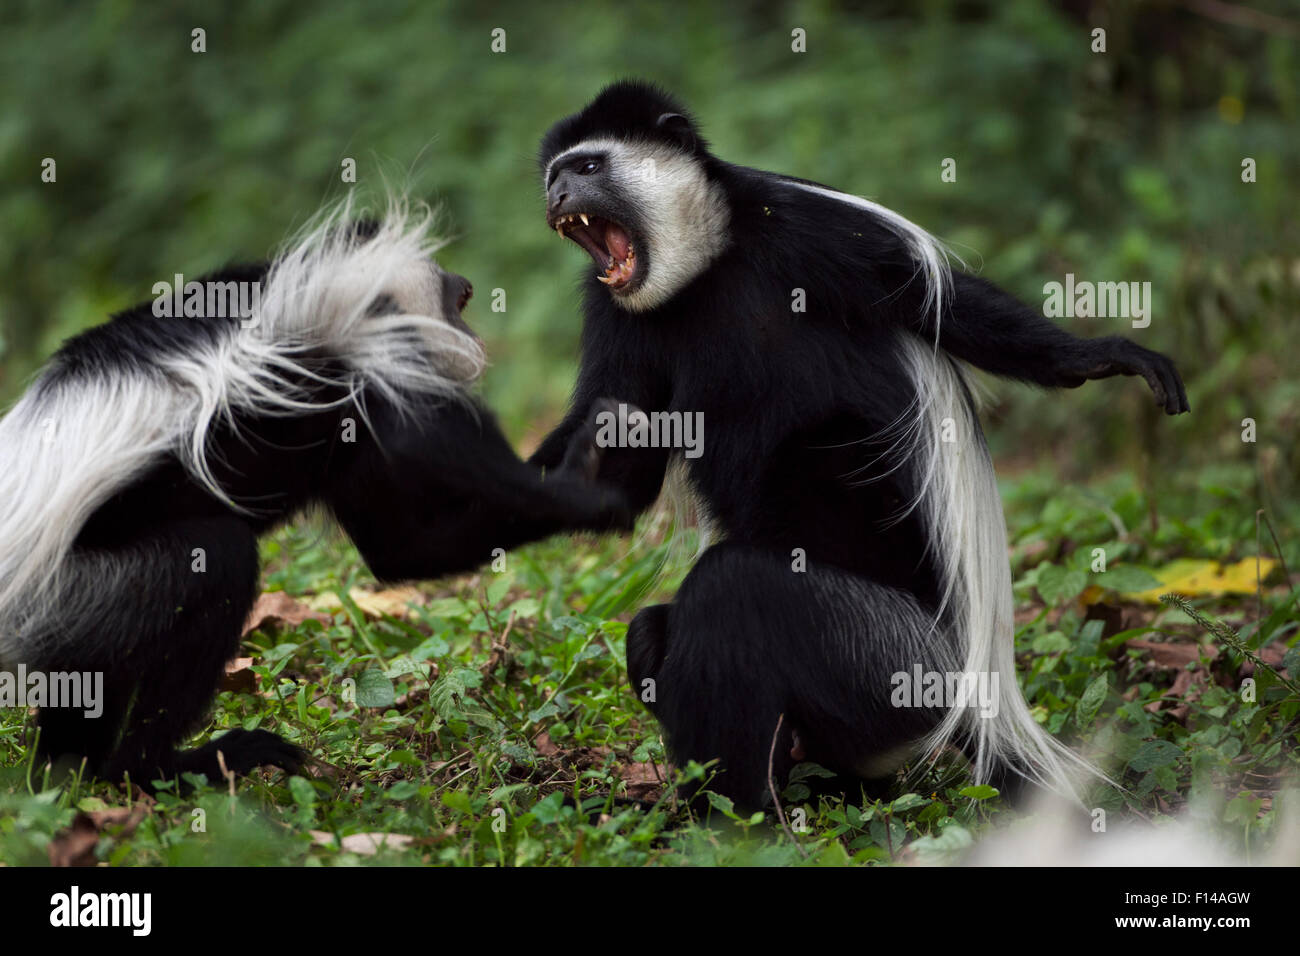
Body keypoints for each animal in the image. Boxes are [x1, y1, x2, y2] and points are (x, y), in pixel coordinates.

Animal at [0, 201, 630, 789]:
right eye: (451, 298)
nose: (466, 293)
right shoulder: (352, 376)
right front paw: (587, 491)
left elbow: (405, 550)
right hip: (79, 594)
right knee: (215, 559)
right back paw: (159, 768)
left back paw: (71, 774)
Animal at [530, 80, 1189, 809]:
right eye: (555, 173)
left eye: (588, 167)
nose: (557, 191)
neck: (705, 270)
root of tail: (975, 700)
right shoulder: (612, 312)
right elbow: (625, 451)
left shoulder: (807, 224)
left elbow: (948, 308)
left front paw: (1101, 354)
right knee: (654, 634)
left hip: (892, 664)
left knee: (739, 584)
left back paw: (738, 815)